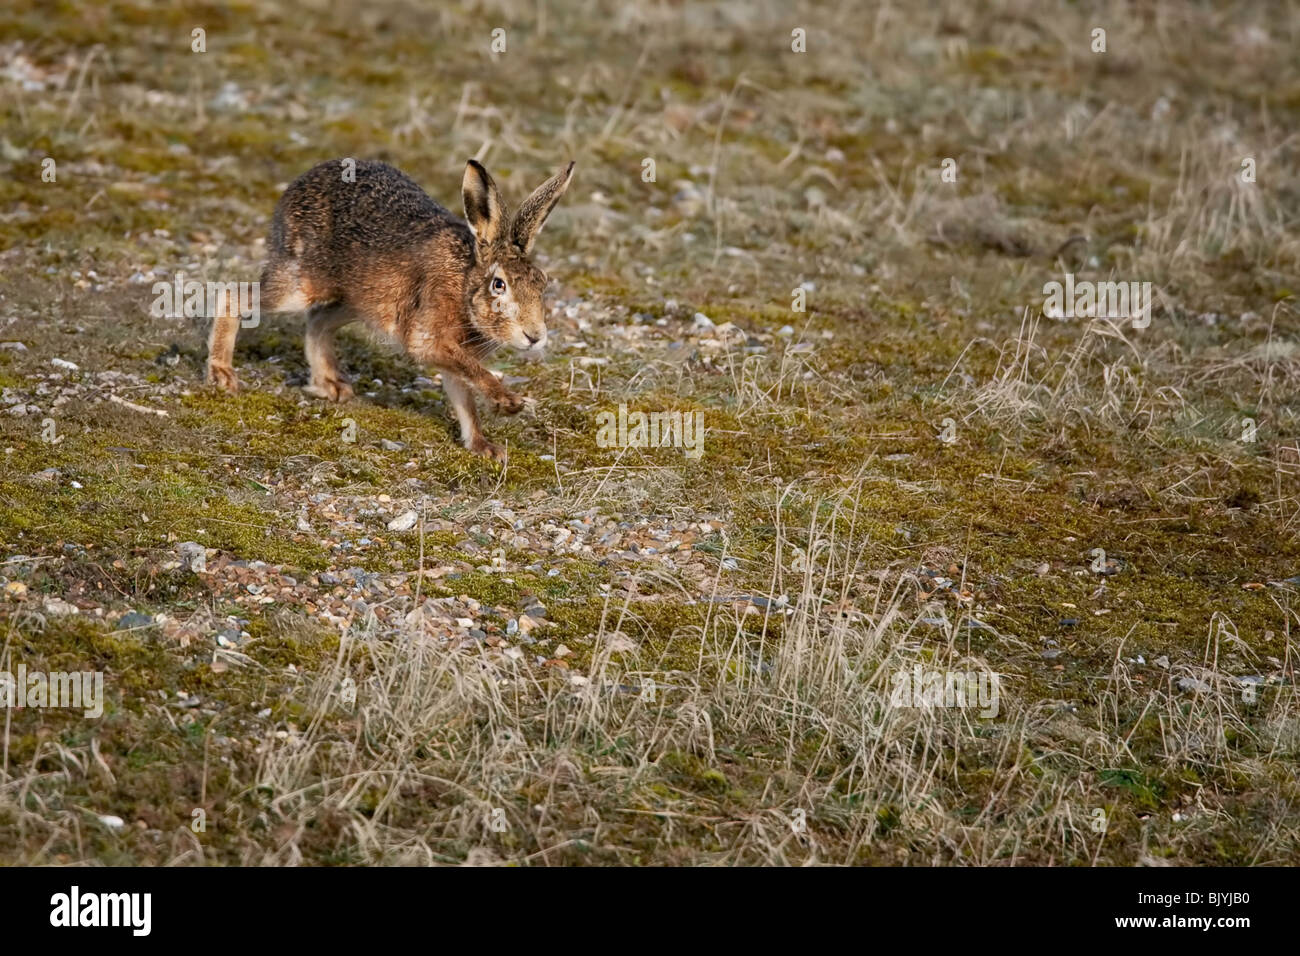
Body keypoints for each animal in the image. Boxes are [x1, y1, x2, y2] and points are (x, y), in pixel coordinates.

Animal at [206, 157, 575, 461]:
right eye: (499, 285)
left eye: (542, 283)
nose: (535, 336)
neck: (465, 285)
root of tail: (298, 184)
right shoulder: (431, 341)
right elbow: (475, 376)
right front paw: (508, 403)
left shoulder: (453, 359)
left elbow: (464, 399)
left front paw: (484, 447)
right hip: (303, 284)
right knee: (235, 296)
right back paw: (222, 374)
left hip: (359, 299)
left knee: (319, 321)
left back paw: (330, 384)